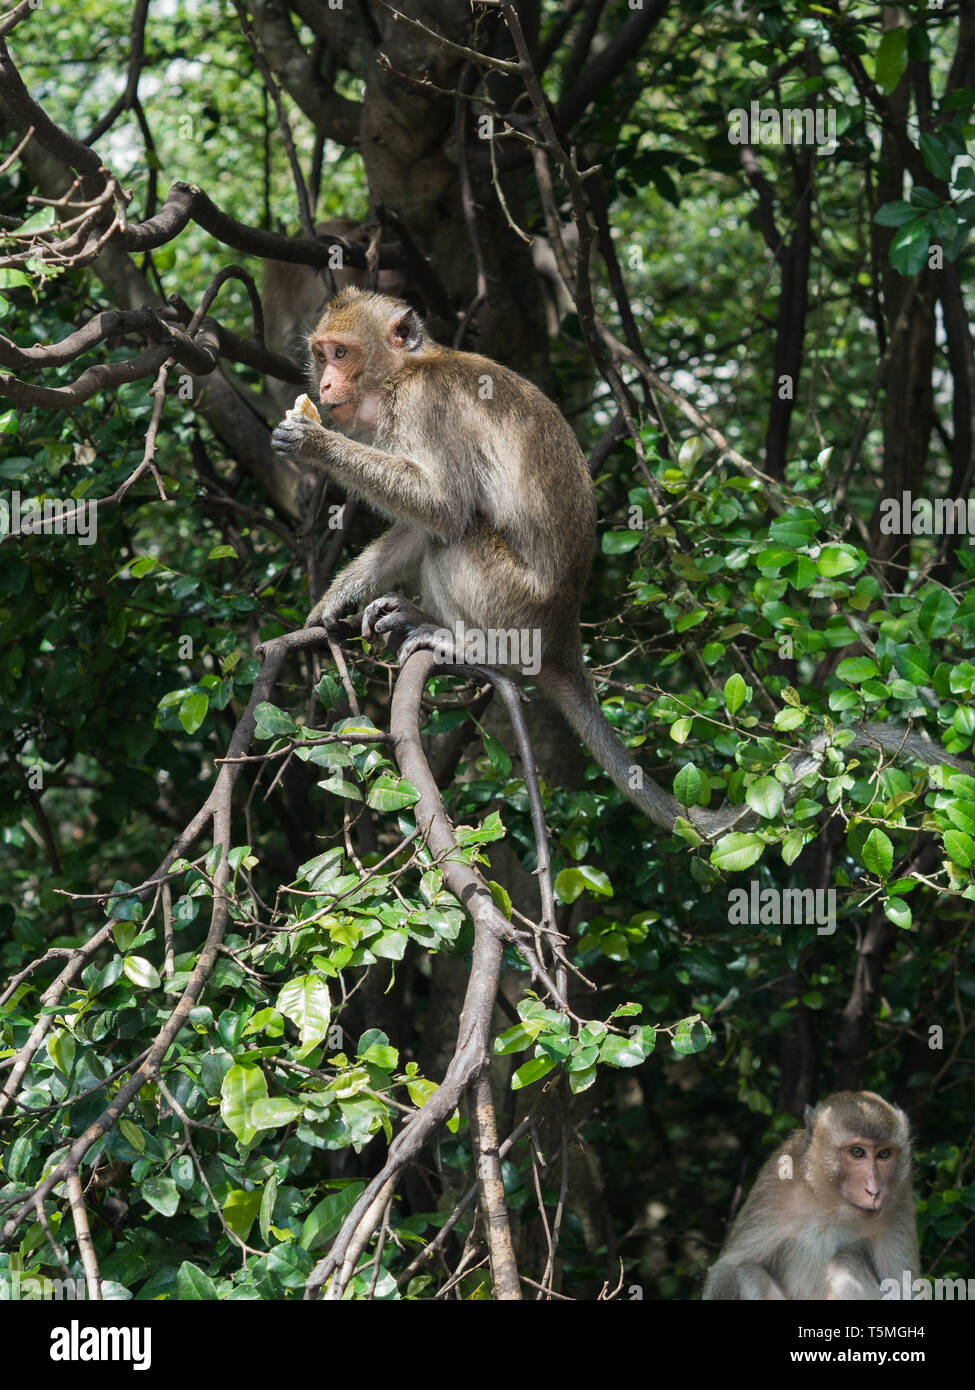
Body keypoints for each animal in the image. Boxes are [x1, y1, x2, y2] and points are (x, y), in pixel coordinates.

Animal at [269, 288, 966, 839]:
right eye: (321, 353)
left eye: (340, 354)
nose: (322, 387)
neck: (404, 372)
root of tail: (563, 632)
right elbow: (419, 525)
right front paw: (330, 602)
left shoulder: (425, 407)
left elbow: (442, 507)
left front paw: (314, 442)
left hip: (513, 600)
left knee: (460, 535)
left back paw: (472, 644)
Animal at [703, 1091, 919, 1300]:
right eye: (857, 1152)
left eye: (884, 1154)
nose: (874, 1191)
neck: (830, 1203)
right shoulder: (773, 1184)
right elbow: (729, 1267)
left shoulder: (900, 1200)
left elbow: (904, 1287)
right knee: (748, 1274)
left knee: (846, 1261)